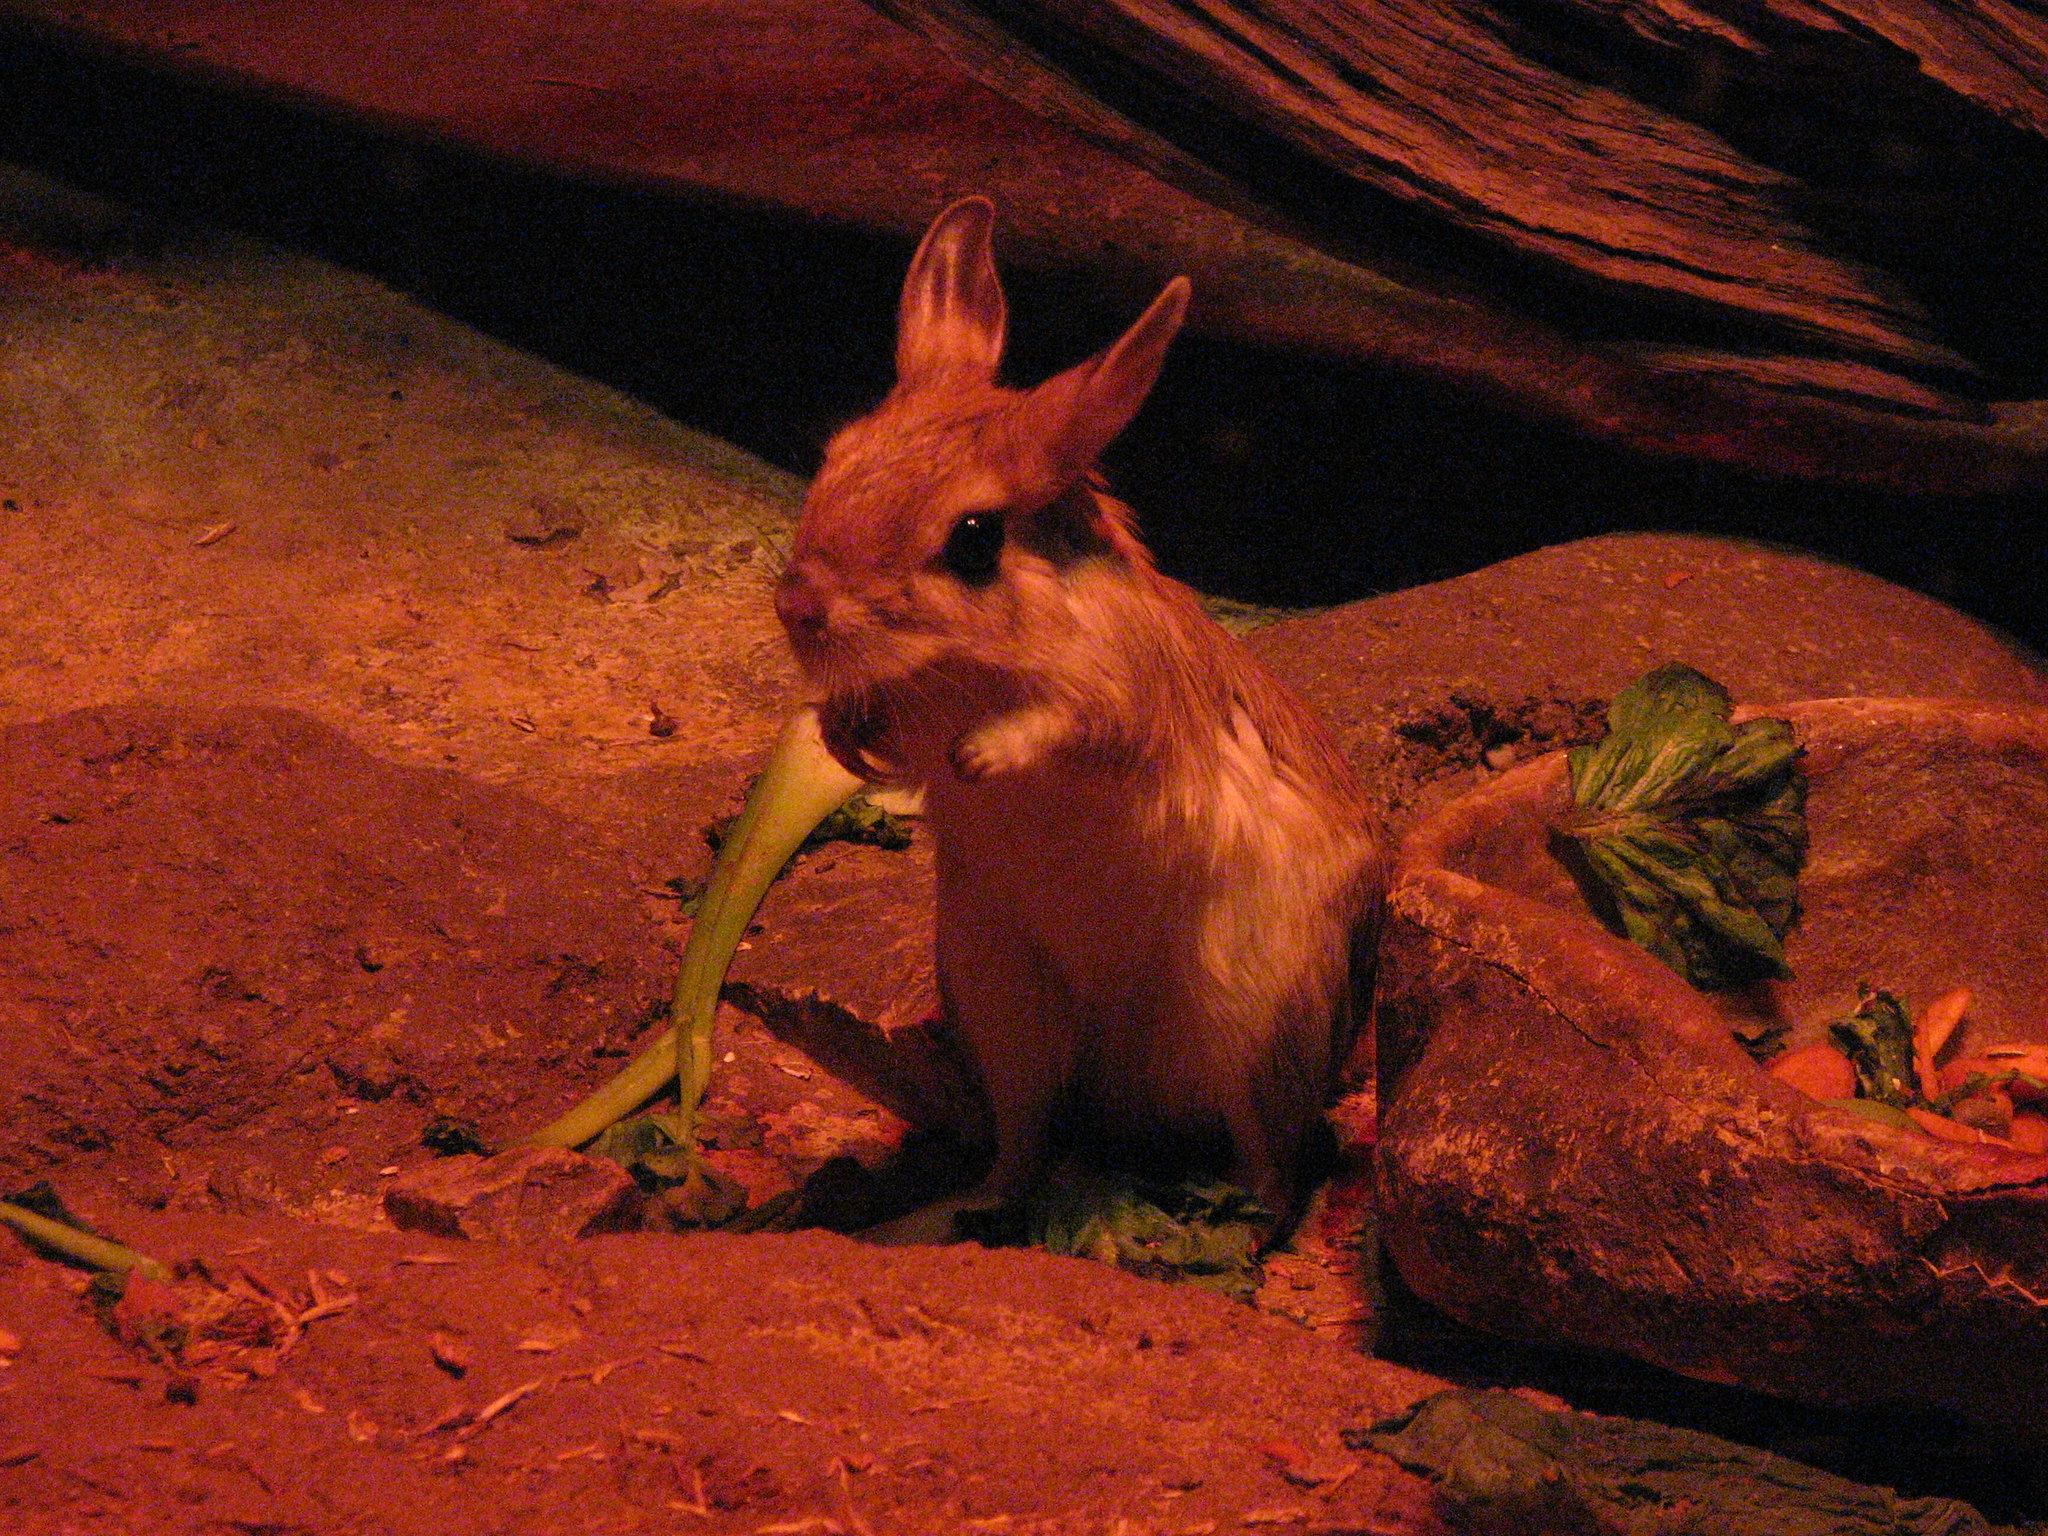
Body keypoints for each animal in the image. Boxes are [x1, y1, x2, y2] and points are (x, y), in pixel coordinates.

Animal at [775, 197, 1385, 1238]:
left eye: (975, 539)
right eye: (836, 457)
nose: (797, 606)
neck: (964, 669)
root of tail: (1137, 1105)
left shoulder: (1123, 704)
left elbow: (1058, 725)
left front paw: (979, 756)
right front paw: (842, 736)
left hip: (1251, 1021)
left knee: (1269, 1160)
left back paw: (1241, 1227)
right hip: (1004, 1001)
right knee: (1026, 1139)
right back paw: (972, 1207)